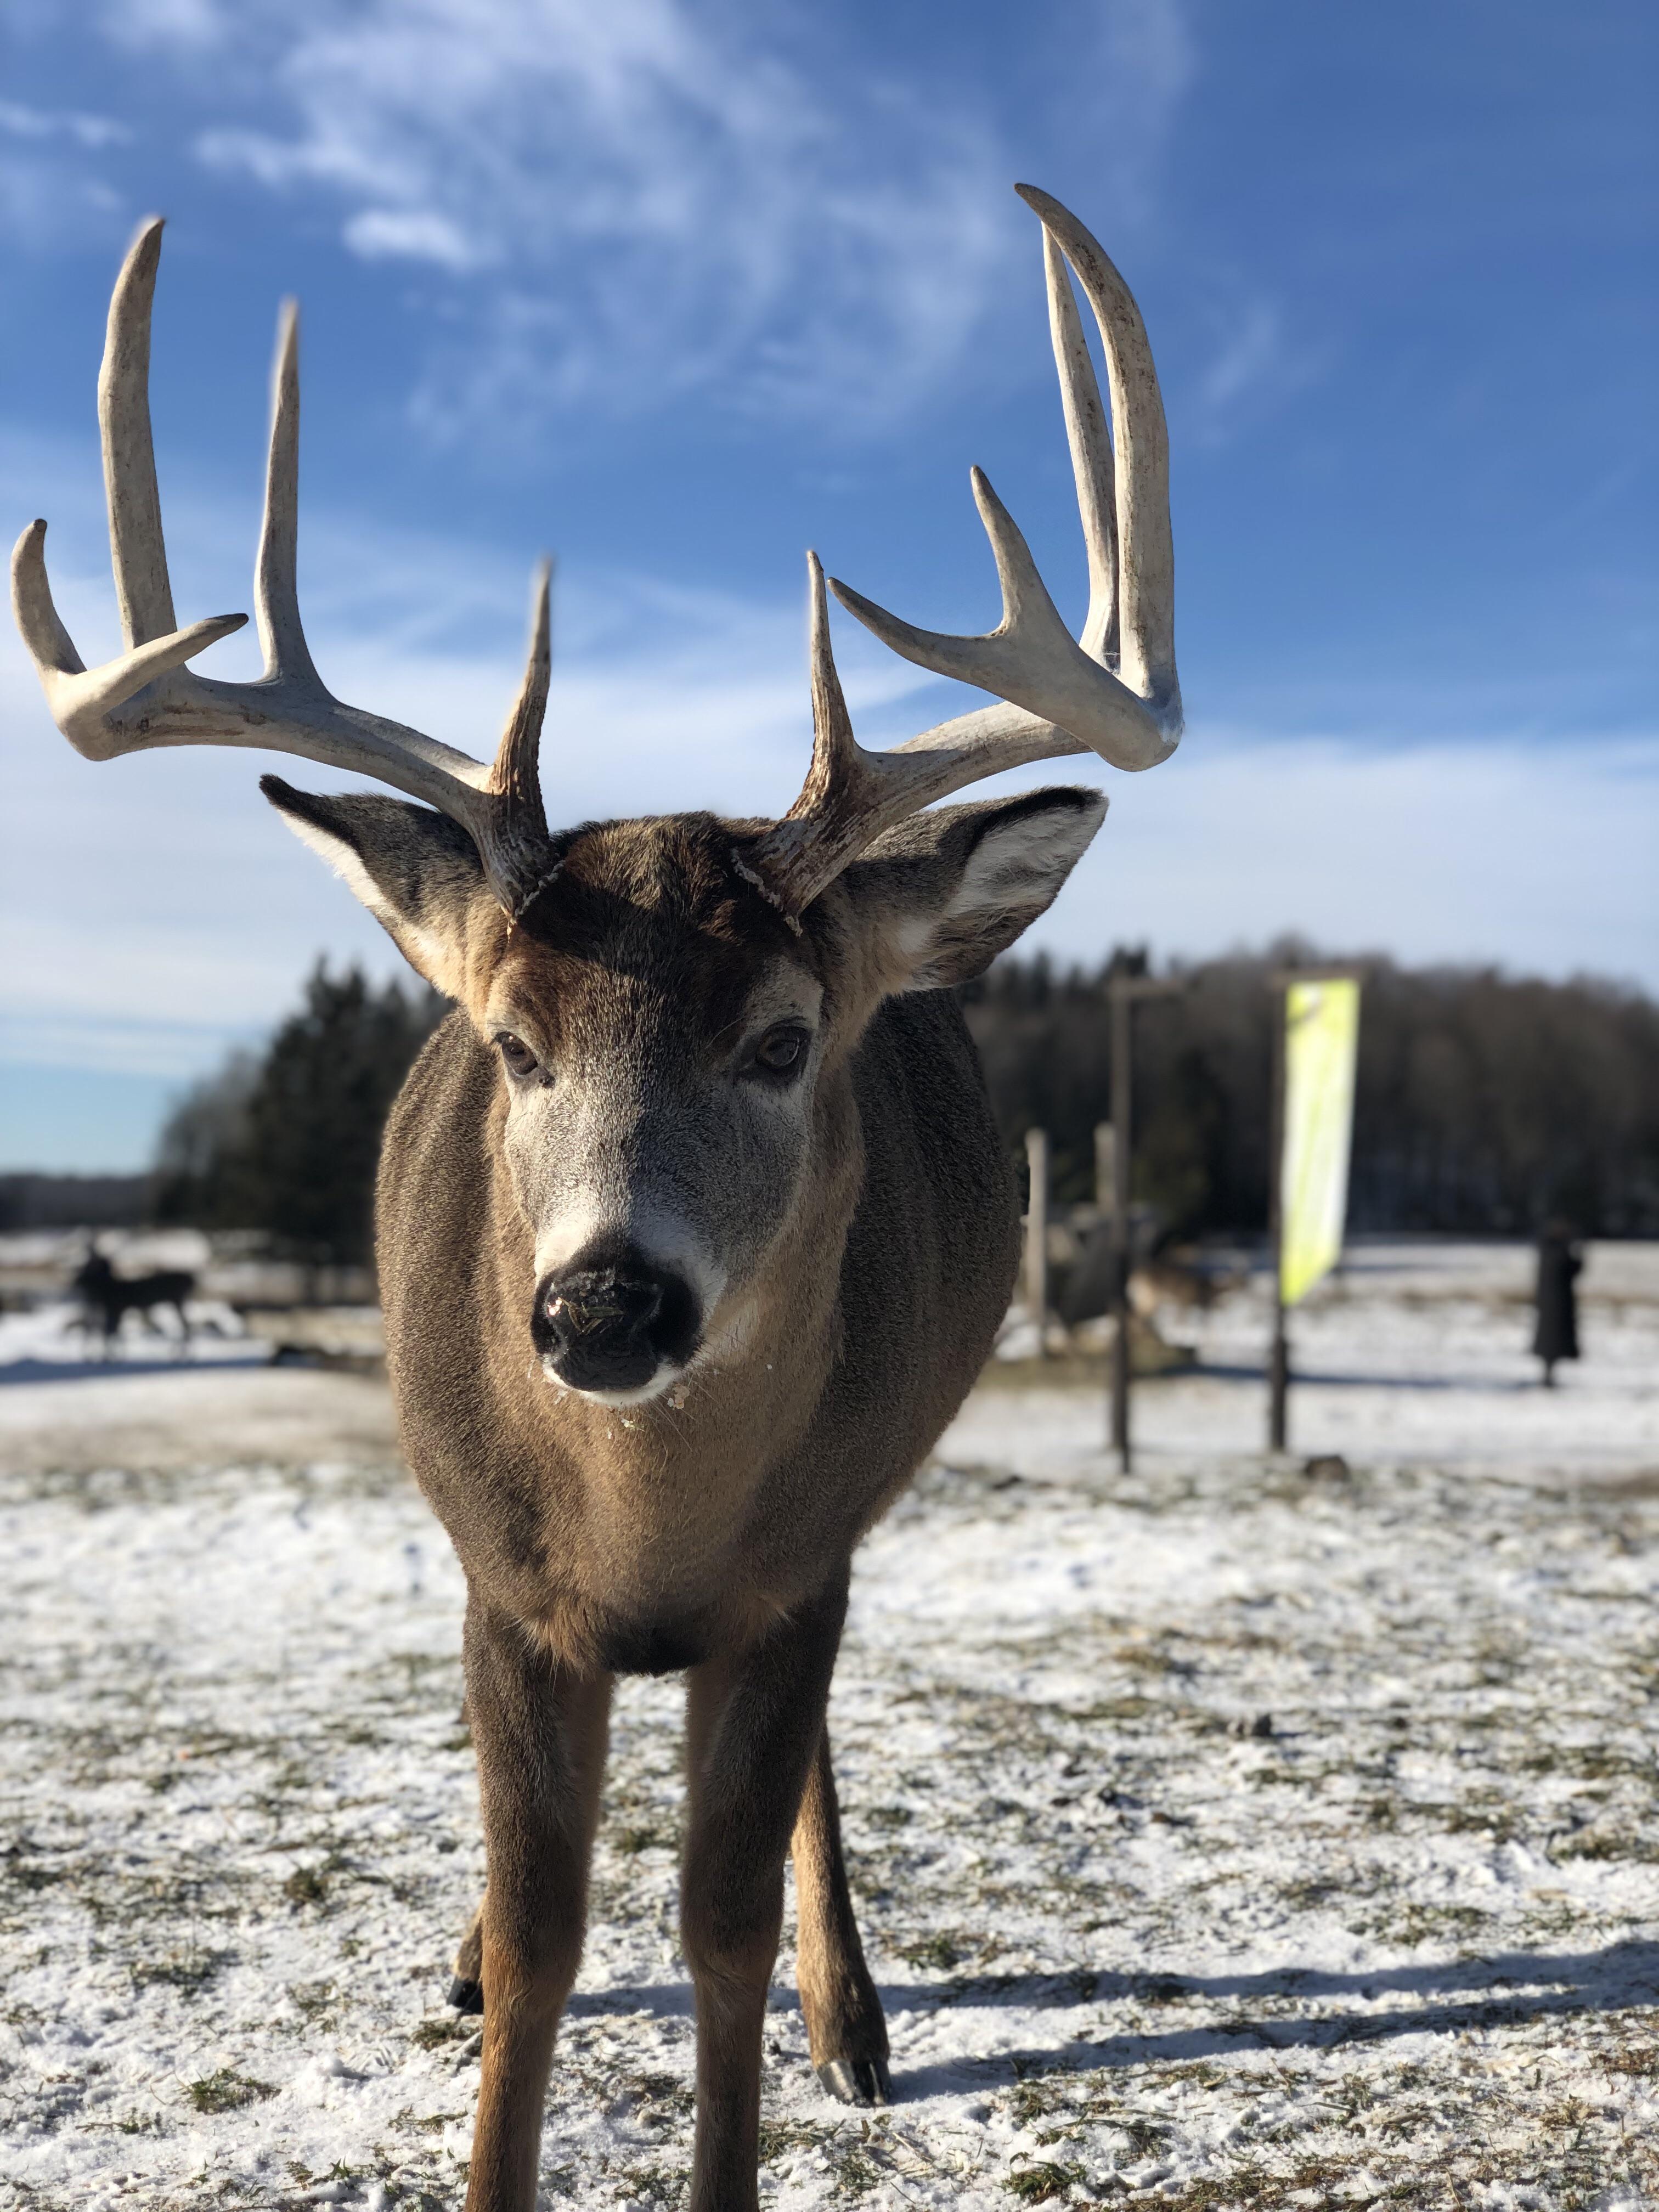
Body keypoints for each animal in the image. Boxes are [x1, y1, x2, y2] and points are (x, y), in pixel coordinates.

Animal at [14, 183, 1180, 2212]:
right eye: (508, 1038)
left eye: (789, 1037)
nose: (604, 1304)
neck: (642, 1541)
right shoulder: (506, 1595)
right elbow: (556, 1936)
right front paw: (498, 2003)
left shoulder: (793, 1584)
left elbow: (717, 1929)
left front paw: (782, 2053)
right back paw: (474, 1957)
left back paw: (854, 2016)